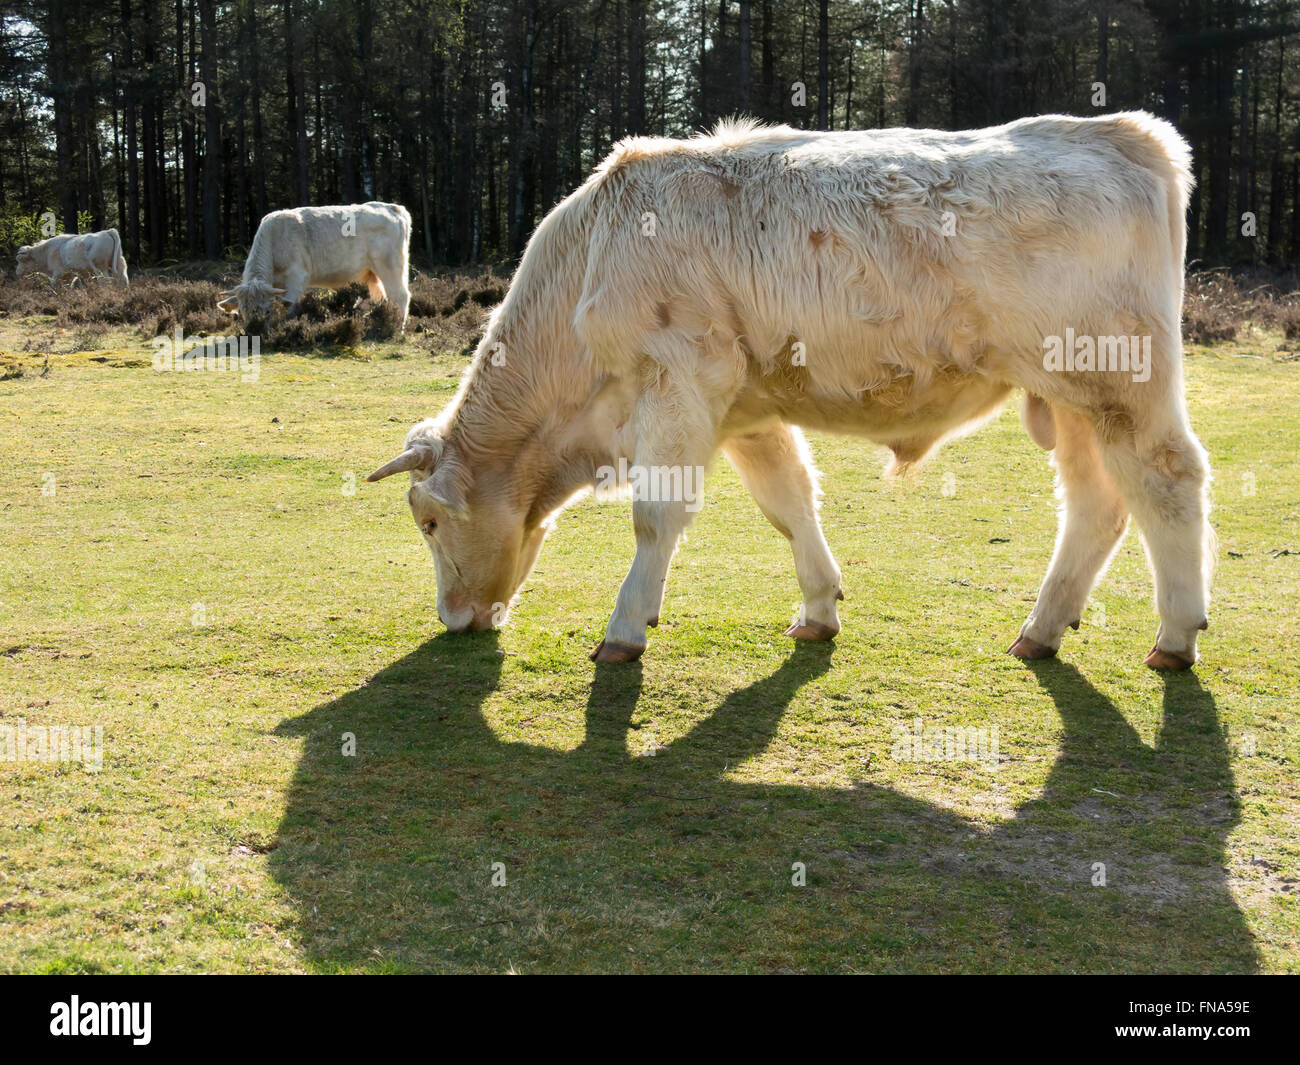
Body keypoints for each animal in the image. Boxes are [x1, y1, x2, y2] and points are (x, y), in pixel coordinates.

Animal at [218, 202, 411, 331]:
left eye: (267, 311)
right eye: (243, 311)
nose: (254, 332)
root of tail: (391, 207)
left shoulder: (296, 277)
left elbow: (289, 306)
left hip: (391, 266)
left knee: (400, 296)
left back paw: (397, 328)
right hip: (373, 274)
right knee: (382, 299)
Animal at [367, 112, 1212, 671]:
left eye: (430, 521)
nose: (453, 619)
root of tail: (1121, 132)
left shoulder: (676, 387)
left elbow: (655, 517)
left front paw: (624, 627)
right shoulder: (744, 411)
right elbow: (789, 501)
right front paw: (817, 608)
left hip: (1120, 383)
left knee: (1168, 481)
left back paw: (1174, 635)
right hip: (1072, 401)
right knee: (1097, 503)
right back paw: (1043, 628)